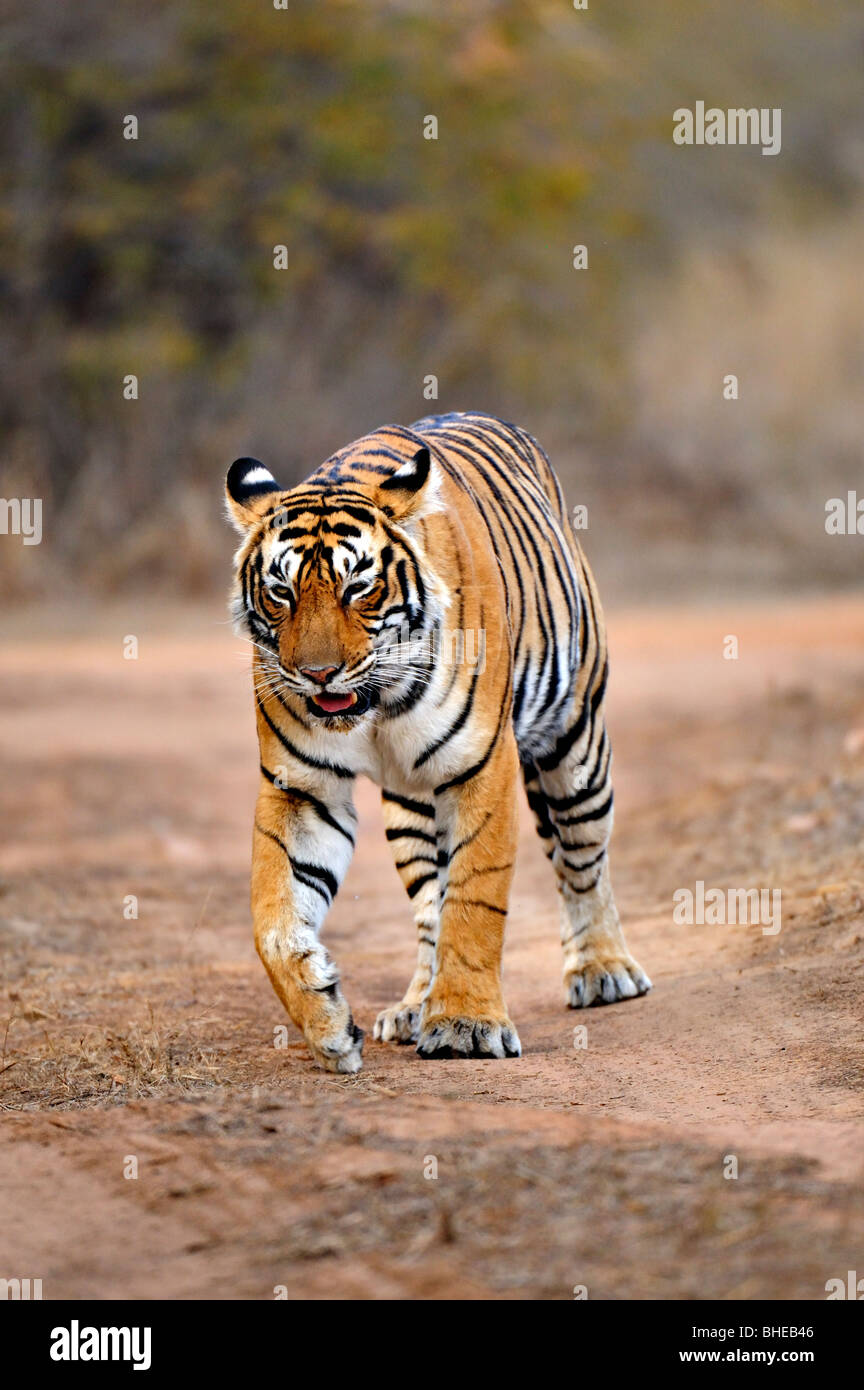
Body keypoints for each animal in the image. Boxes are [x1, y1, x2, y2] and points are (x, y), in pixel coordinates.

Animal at [225, 410, 650, 1072]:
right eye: (281, 592)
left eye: (357, 588)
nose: (318, 674)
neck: (376, 705)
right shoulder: (302, 787)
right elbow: (273, 917)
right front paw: (327, 1025)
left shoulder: (482, 767)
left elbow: (475, 898)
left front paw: (465, 1026)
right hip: (409, 808)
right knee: (430, 905)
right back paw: (413, 1006)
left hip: (576, 747)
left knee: (583, 860)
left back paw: (604, 969)